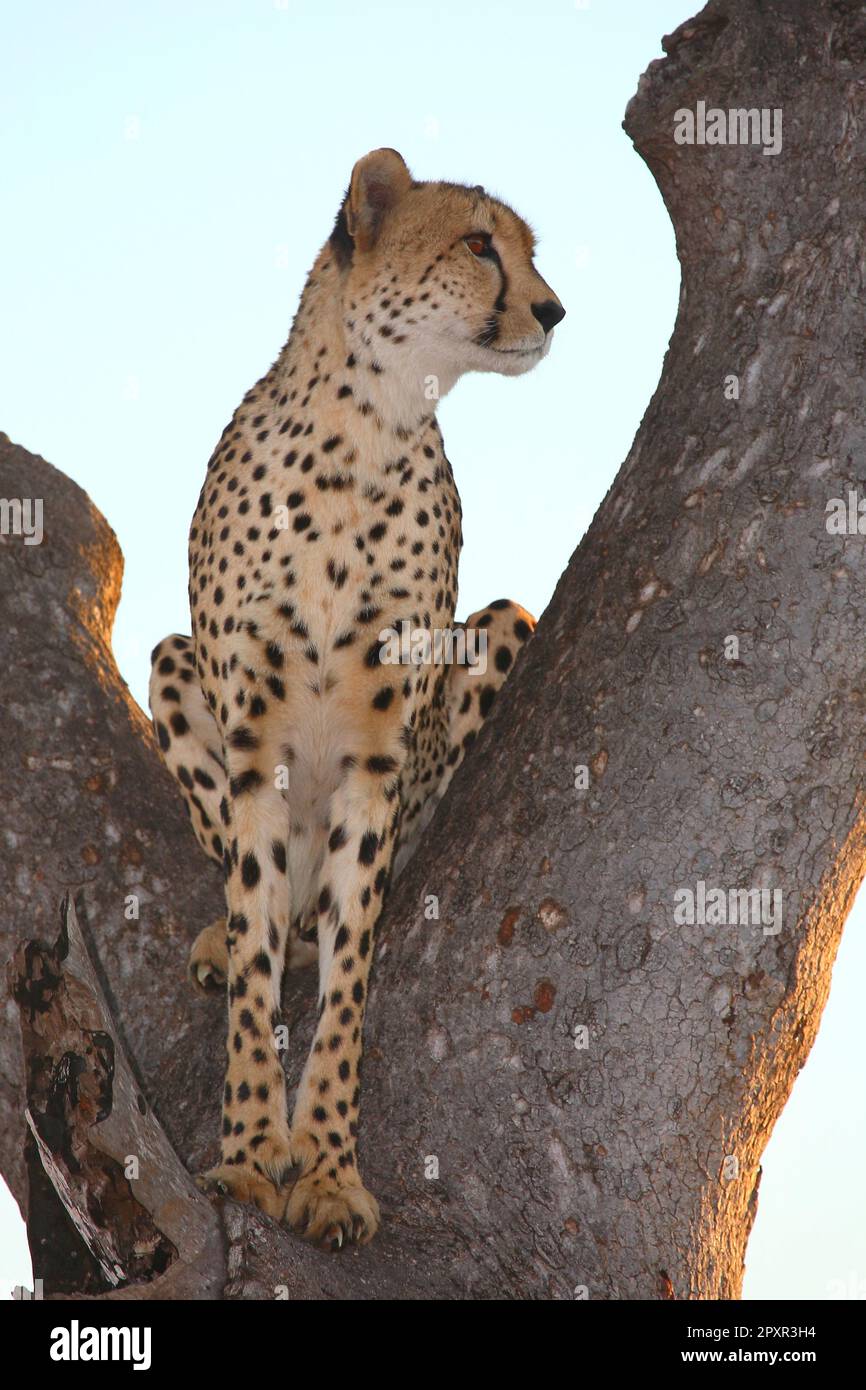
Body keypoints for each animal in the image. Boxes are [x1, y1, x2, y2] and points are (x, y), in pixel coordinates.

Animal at [148, 147, 564, 1249]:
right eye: (479, 244)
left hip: (503, 622)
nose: (553, 309)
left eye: (527, 249)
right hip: (173, 659)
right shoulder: (254, 748)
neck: (366, 429)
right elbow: (257, 972)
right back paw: (227, 936)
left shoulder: (378, 765)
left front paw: (329, 1166)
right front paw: (252, 1152)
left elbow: (347, 982)